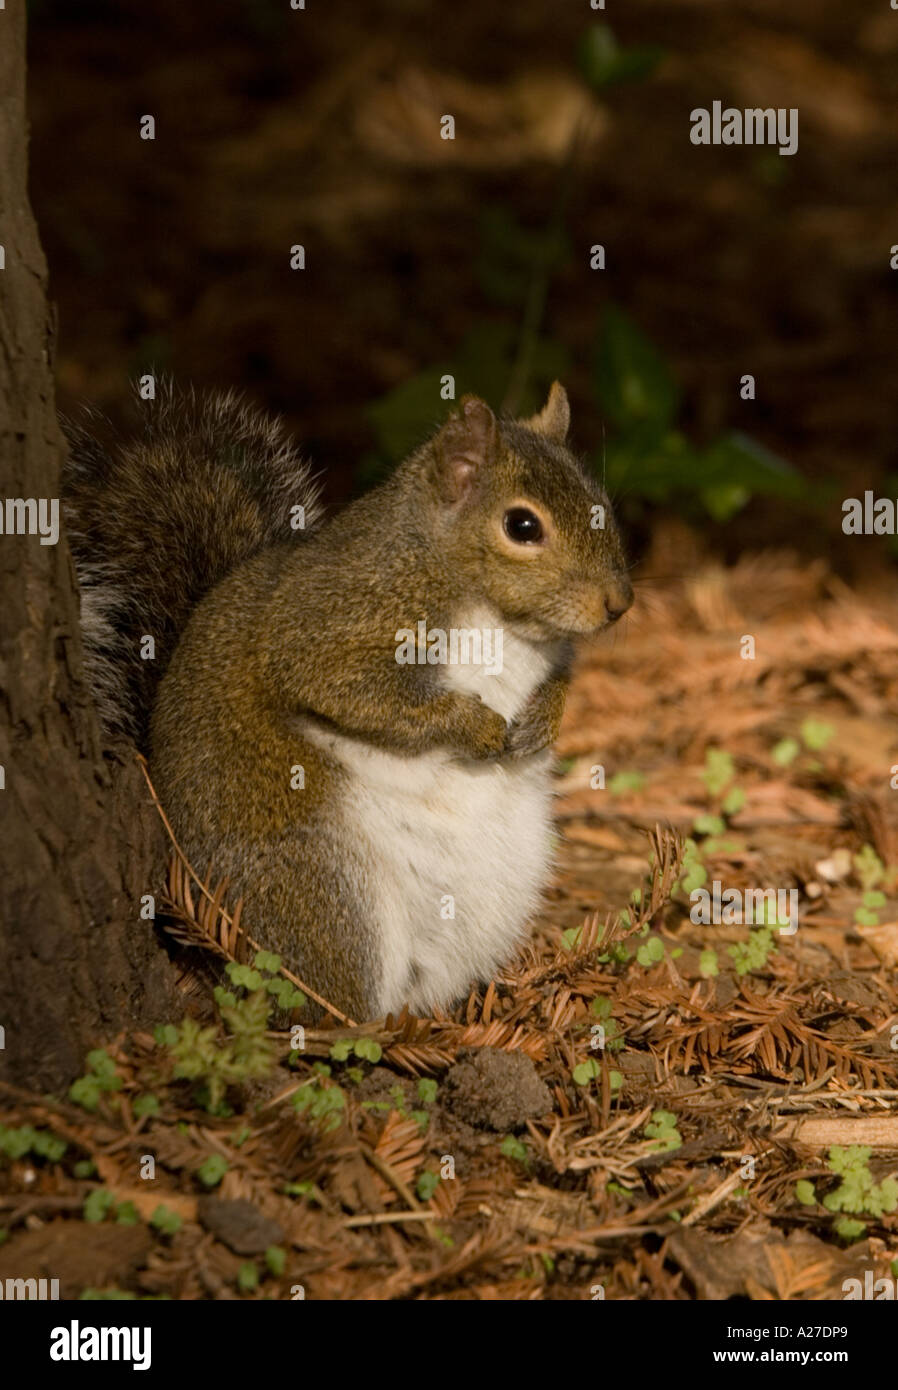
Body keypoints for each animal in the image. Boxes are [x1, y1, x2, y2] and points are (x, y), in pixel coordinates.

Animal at [62, 380, 632, 1022]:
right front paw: (475, 724)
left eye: (601, 501)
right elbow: (350, 689)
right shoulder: (333, 622)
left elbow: (559, 680)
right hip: (324, 893)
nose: (620, 603)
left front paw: (541, 720)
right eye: (523, 526)